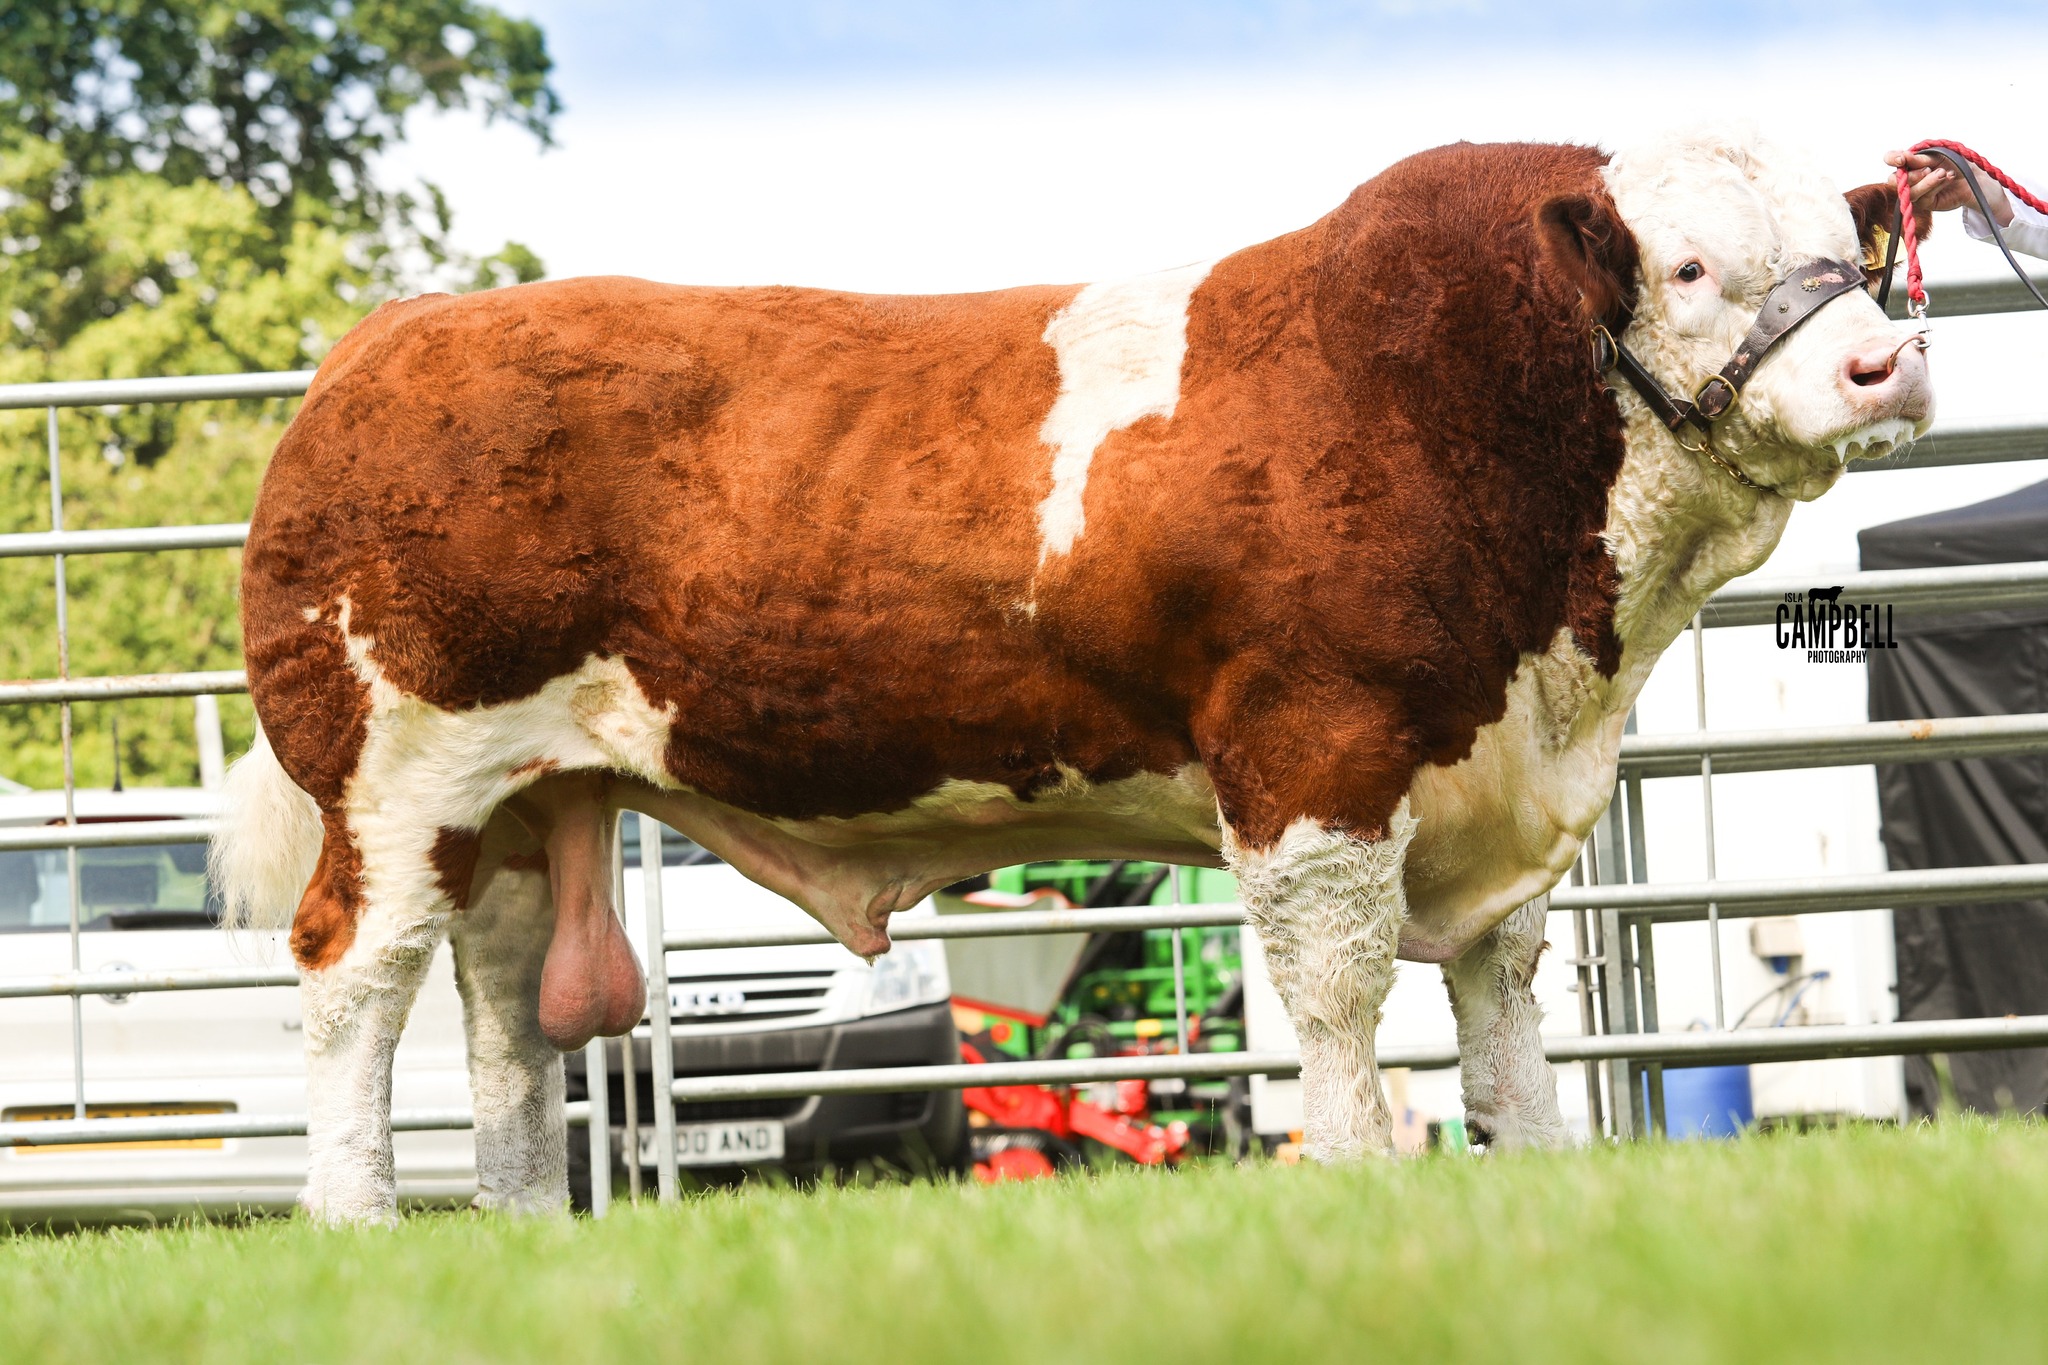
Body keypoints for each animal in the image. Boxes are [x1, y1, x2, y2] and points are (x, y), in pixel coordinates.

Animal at [210, 128, 1931, 1224]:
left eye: (1850, 256)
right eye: (1693, 266)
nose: (1887, 360)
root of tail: (393, 342)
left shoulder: (1499, 796)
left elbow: (1504, 1004)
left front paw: (1536, 1165)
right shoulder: (1314, 753)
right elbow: (1342, 988)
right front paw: (1361, 1175)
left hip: (523, 800)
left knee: (504, 1010)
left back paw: (515, 1226)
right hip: (396, 776)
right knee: (354, 978)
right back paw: (359, 1216)